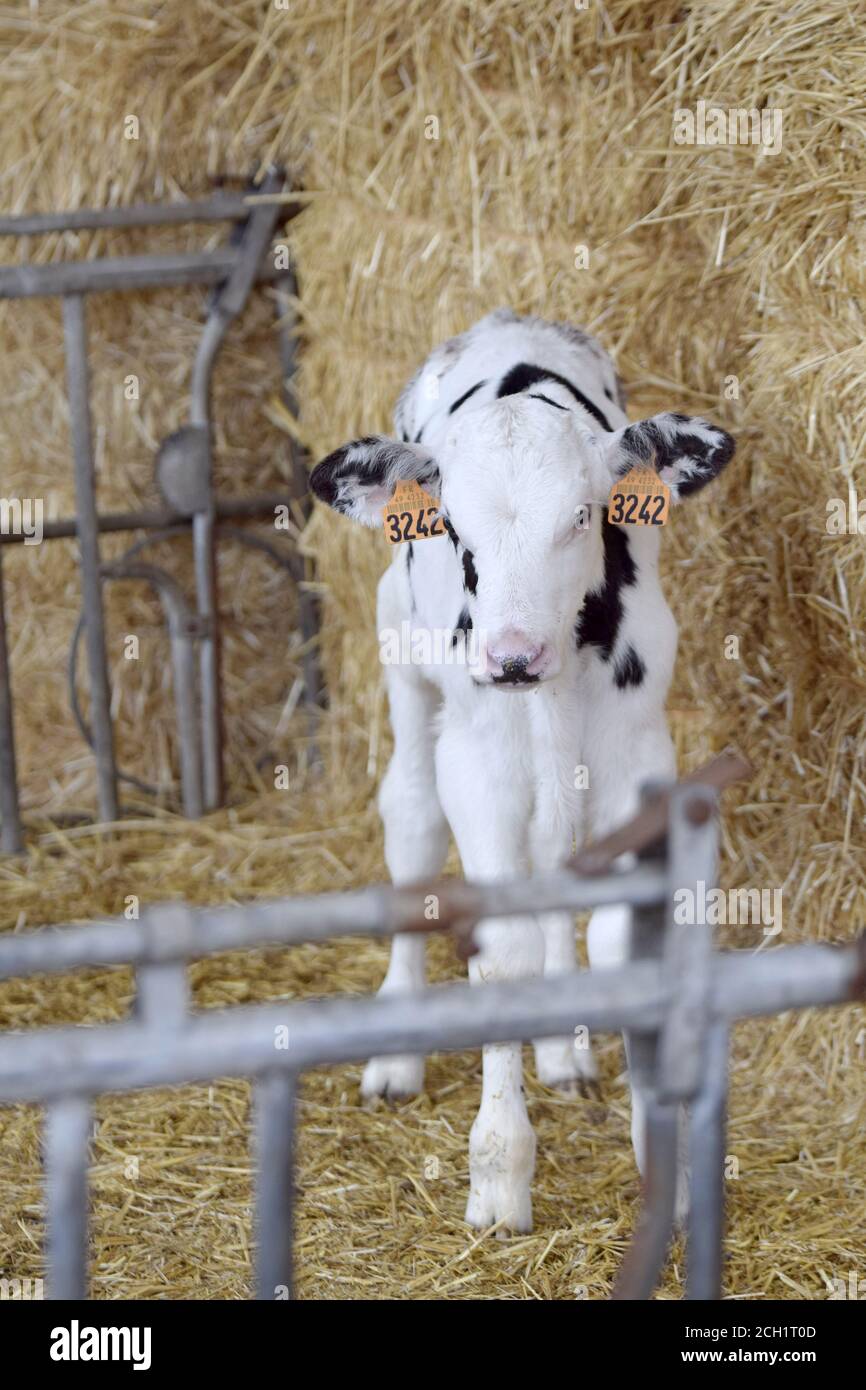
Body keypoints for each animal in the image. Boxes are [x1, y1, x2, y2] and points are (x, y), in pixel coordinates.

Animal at [310, 309, 735, 1234]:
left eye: (581, 516)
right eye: (453, 526)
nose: (511, 657)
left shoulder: (634, 751)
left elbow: (613, 940)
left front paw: (665, 1167)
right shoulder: (479, 764)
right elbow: (500, 952)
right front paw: (500, 1177)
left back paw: (561, 1047)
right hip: (405, 673)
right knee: (411, 816)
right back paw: (398, 1049)